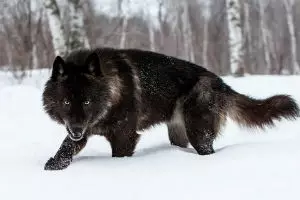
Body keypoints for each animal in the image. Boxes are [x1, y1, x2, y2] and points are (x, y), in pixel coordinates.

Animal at [43, 47, 298, 170]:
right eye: (66, 102)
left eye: (87, 102)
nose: (76, 130)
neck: (112, 90)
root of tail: (221, 82)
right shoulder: (81, 131)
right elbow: (66, 147)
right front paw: (55, 165)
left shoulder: (124, 137)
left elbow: (118, 157)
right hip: (178, 134)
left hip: (199, 134)